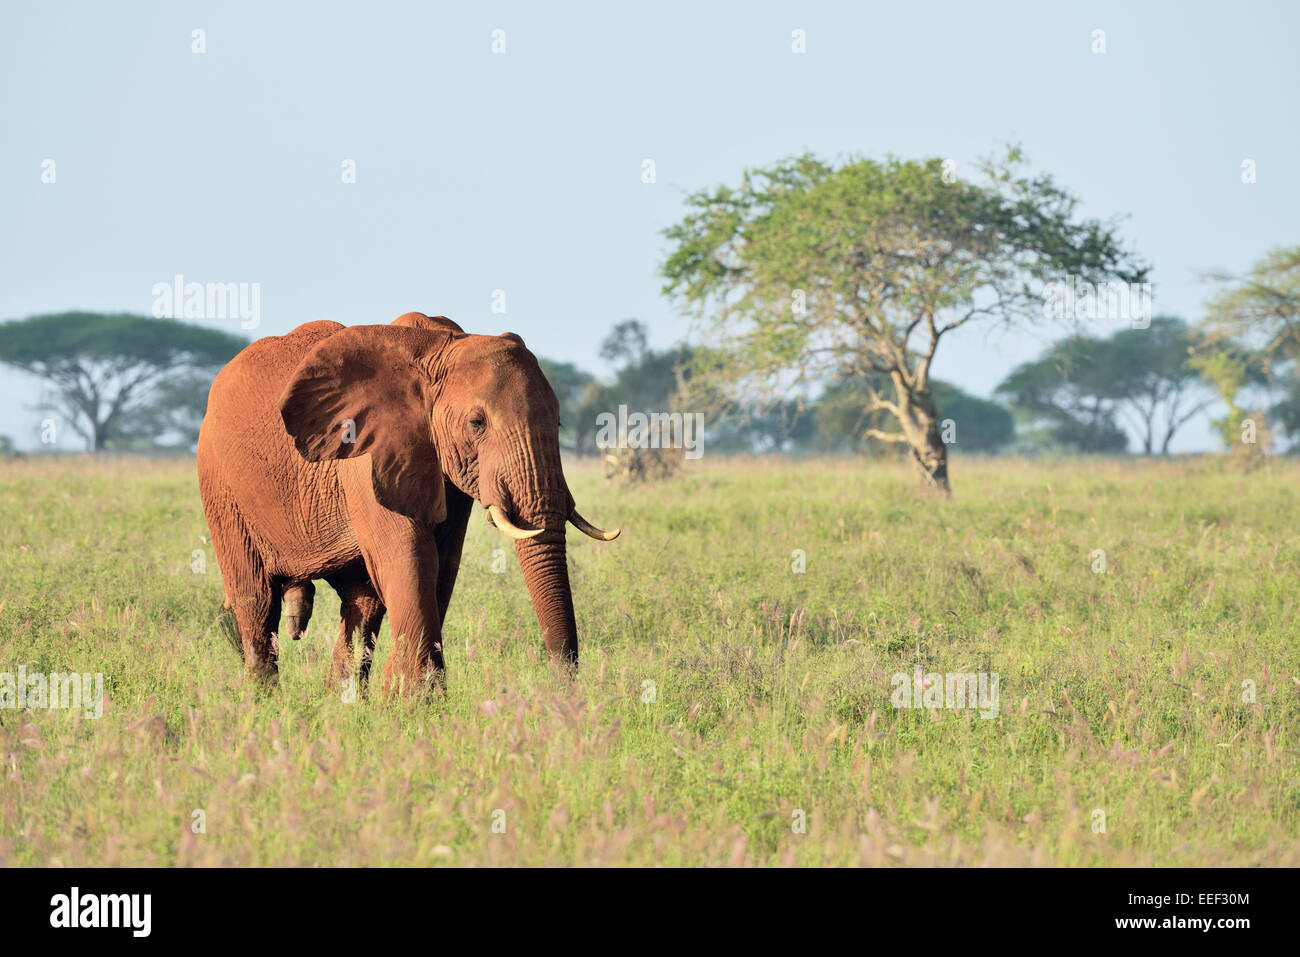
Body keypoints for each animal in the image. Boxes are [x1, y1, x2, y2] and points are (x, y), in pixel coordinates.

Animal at [196, 311, 619, 695]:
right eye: (477, 424)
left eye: (559, 423)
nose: (560, 690)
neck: (439, 351)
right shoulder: (367, 458)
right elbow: (411, 556)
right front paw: (418, 701)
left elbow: (442, 564)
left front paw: (401, 697)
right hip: (219, 483)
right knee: (256, 597)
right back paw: (263, 701)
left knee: (361, 599)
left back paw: (341, 700)